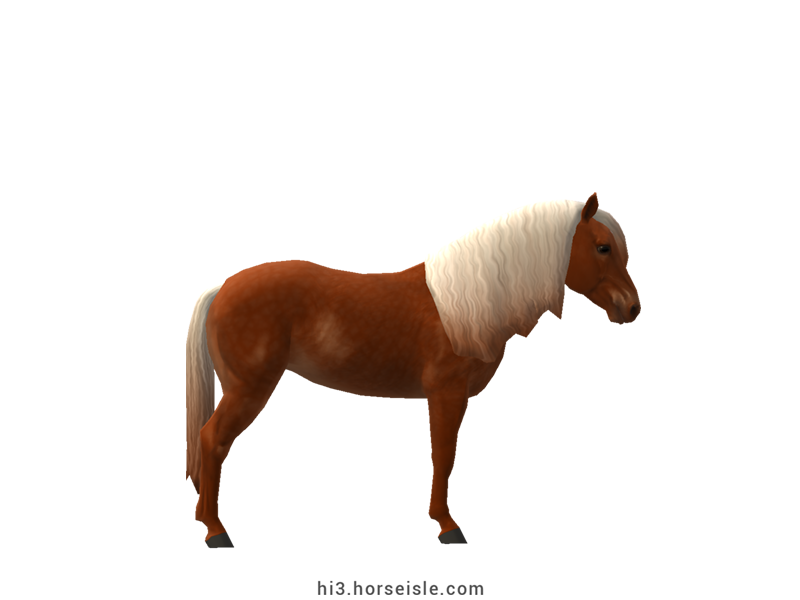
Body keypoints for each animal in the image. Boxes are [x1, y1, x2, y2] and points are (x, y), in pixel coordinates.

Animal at [186, 195, 640, 538]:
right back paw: (215, 528)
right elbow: (445, 452)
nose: (632, 307)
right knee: (211, 439)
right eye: (603, 247)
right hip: (246, 388)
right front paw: (445, 522)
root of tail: (220, 291)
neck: (463, 304)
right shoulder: (446, 389)